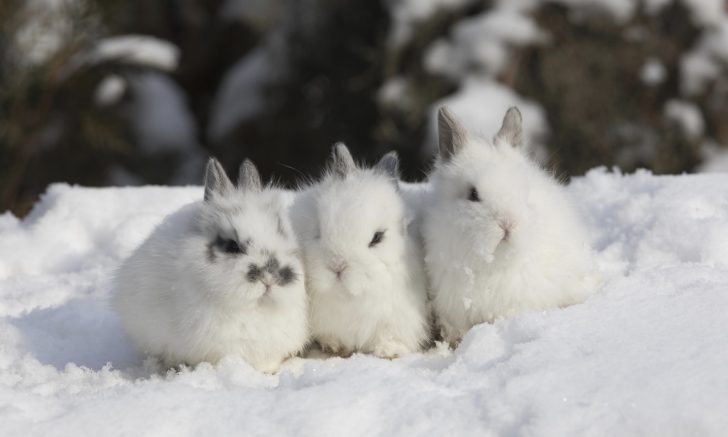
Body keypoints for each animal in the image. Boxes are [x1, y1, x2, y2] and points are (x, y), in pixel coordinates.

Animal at [290, 144, 431, 358]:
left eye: (377, 237)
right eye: (318, 230)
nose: (337, 266)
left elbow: (392, 335)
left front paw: (388, 351)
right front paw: (334, 346)